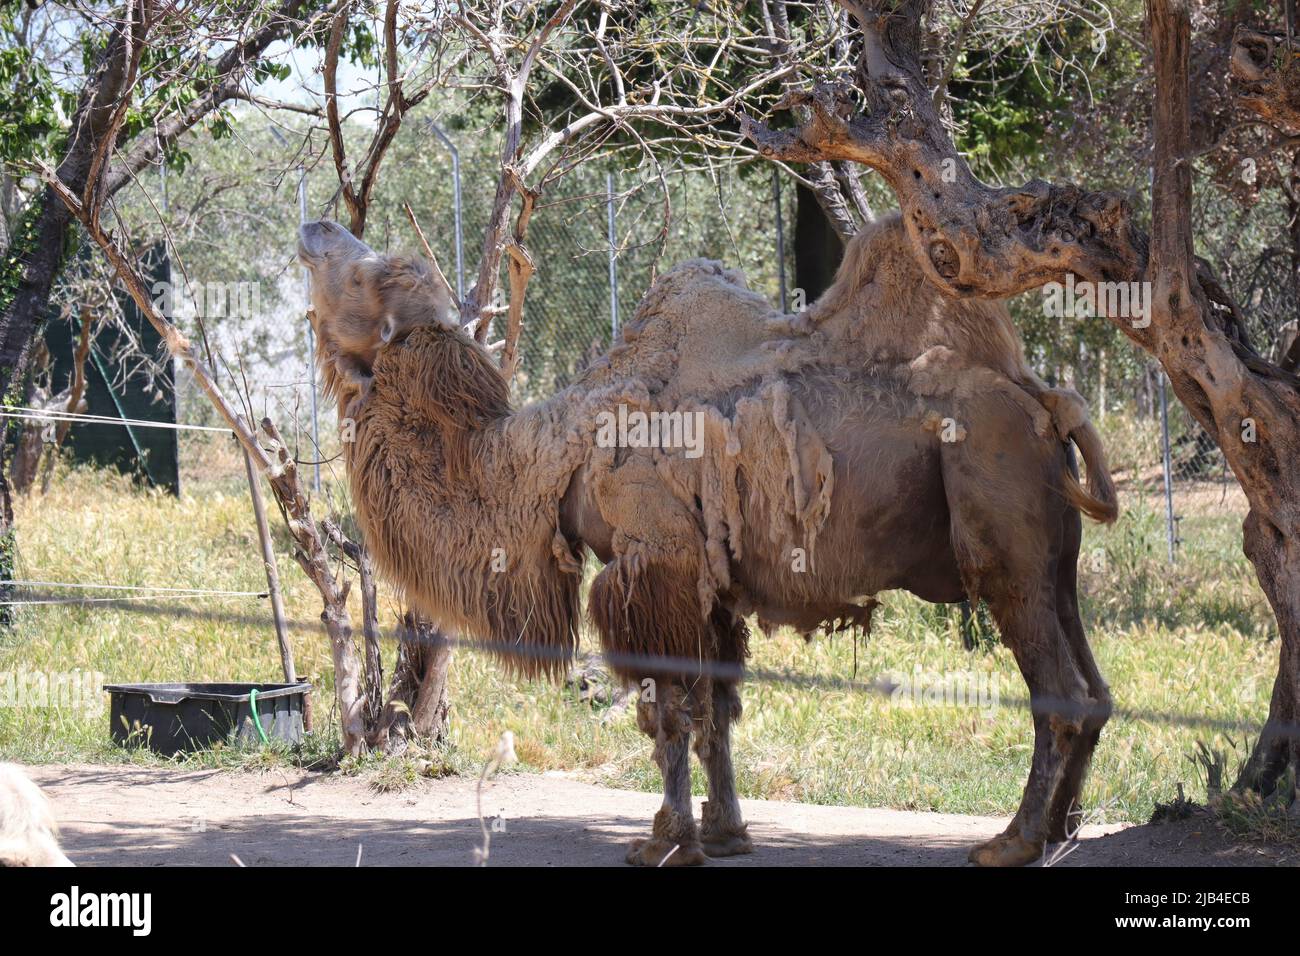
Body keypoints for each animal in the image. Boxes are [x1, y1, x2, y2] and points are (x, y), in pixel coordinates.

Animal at [297, 212, 1118, 867]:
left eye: (366, 272)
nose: (316, 227)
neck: (547, 458)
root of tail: (1048, 403)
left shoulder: (652, 563)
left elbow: (668, 712)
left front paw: (666, 842)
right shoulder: (711, 581)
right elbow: (718, 712)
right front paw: (723, 833)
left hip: (997, 520)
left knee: (1057, 689)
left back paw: (1011, 841)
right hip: (1055, 554)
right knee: (1094, 686)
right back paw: (1060, 831)